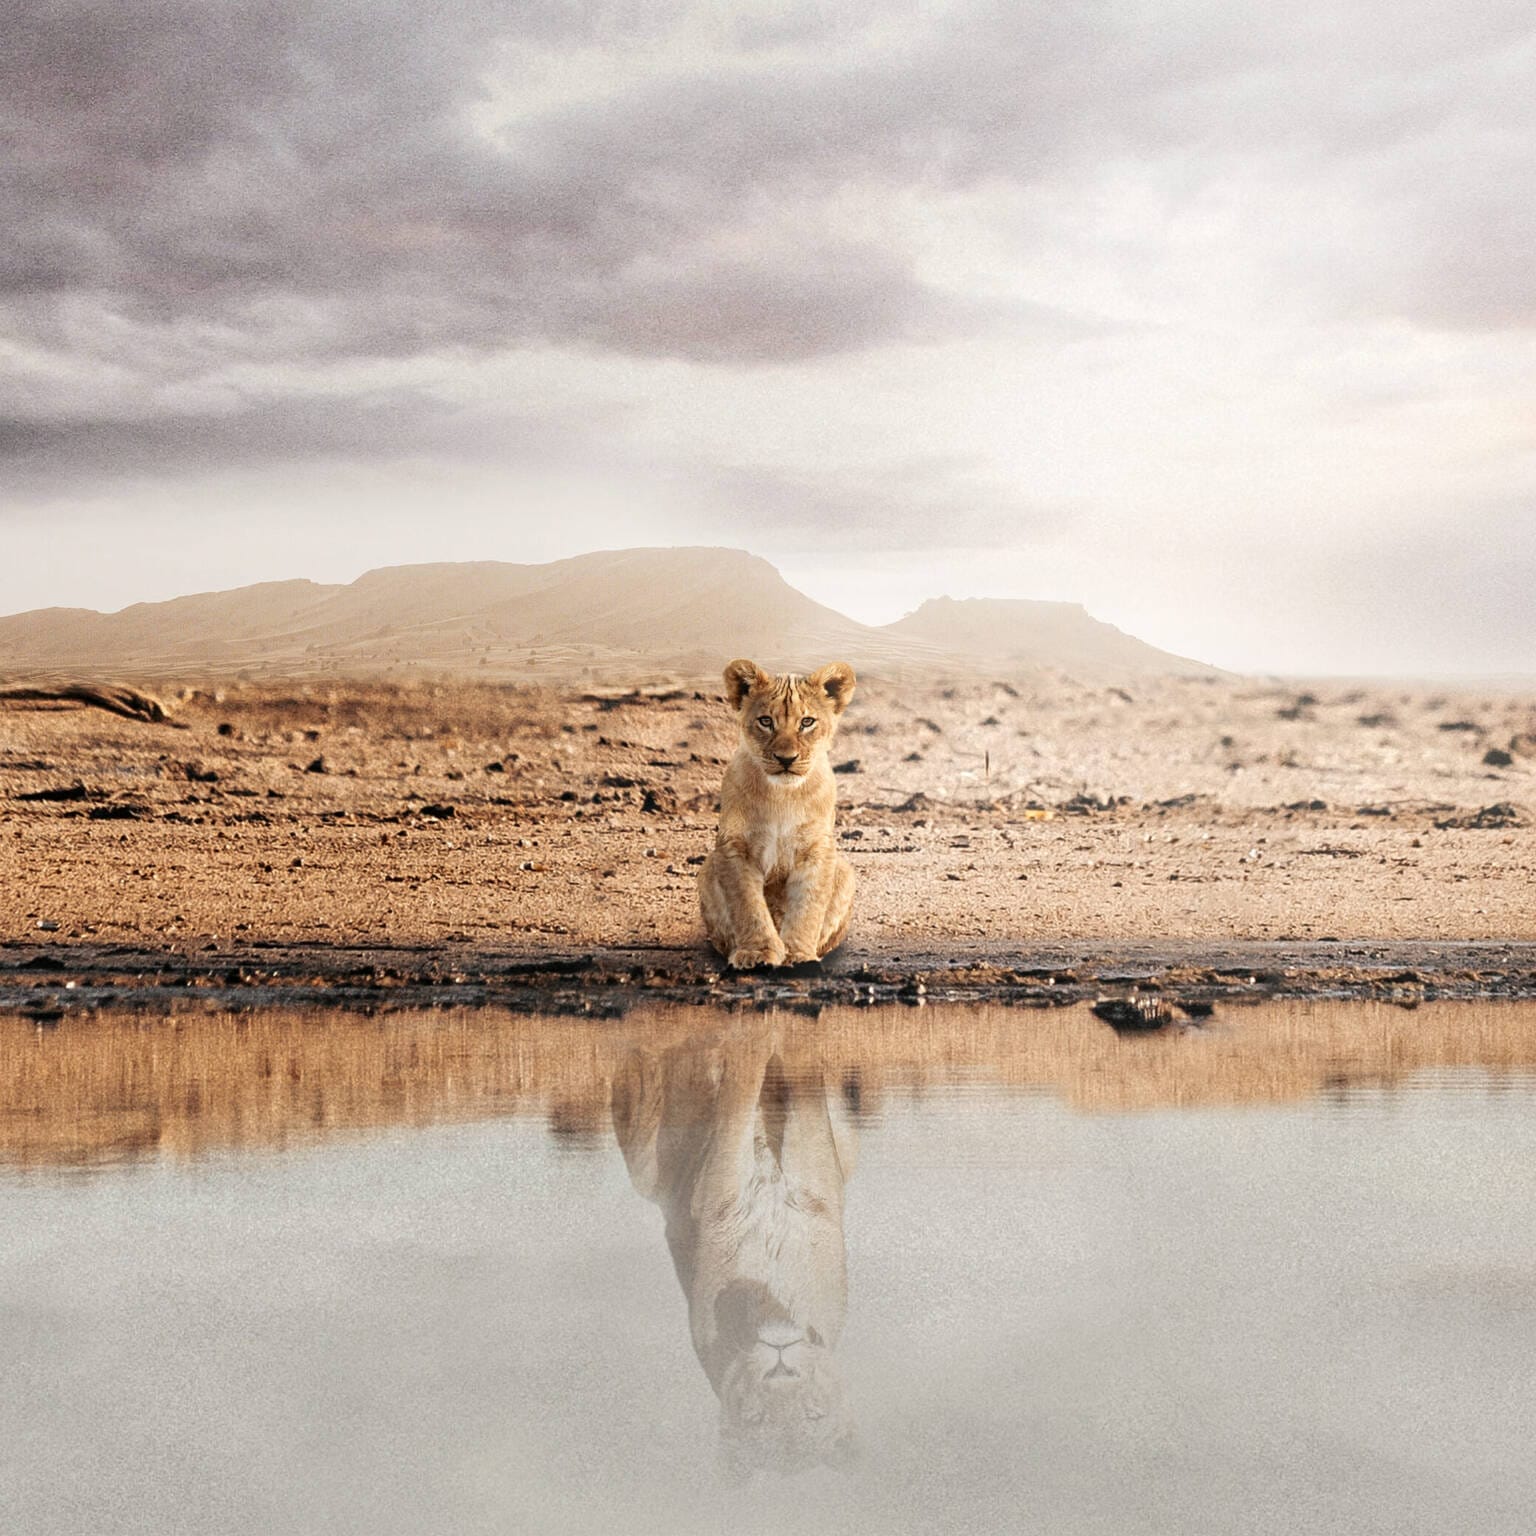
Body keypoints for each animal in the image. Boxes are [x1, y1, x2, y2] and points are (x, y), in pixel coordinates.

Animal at [611, 1030, 859, 1480]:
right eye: (756, 1418)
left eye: (813, 1415)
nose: (781, 1362)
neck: (772, 1301)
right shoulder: (722, 1188)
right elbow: (748, 1094)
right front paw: (757, 1039)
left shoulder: (811, 1176)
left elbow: (789, 1089)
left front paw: (767, 1041)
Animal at [698, 659, 857, 969]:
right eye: (765, 721)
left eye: (806, 722)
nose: (786, 759)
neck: (782, 796)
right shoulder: (735, 847)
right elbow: (748, 906)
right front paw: (757, 953)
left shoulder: (817, 849)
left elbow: (807, 907)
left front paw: (797, 956)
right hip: (708, 867)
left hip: (845, 872)